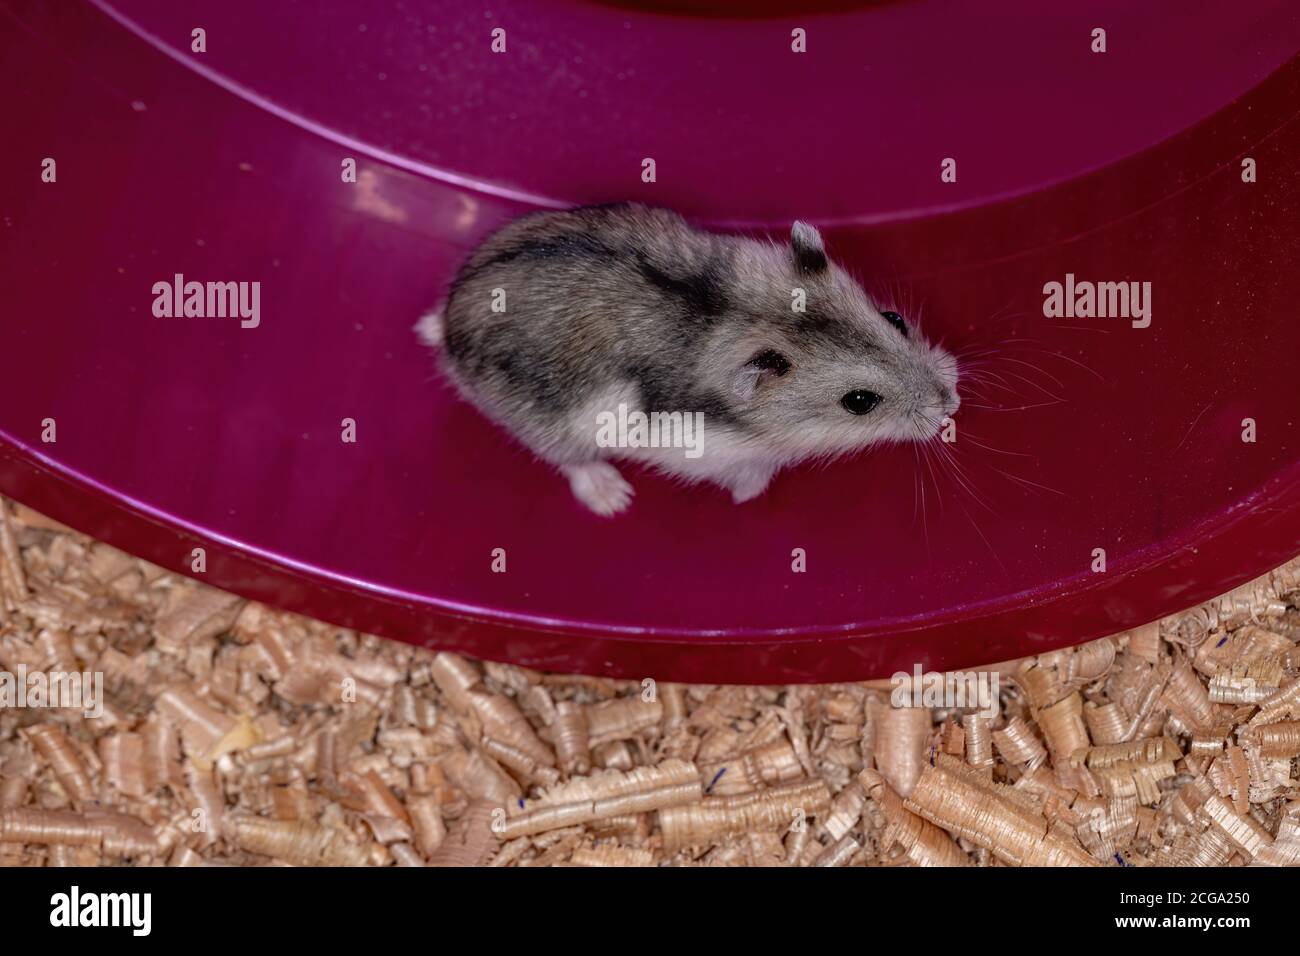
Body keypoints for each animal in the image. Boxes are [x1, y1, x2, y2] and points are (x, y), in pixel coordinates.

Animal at [416, 203, 960, 516]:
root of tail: (448, 321)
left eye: (895, 318)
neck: (741, 317)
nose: (950, 404)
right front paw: (748, 494)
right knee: (571, 460)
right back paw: (614, 498)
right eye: (860, 401)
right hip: (543, 422)